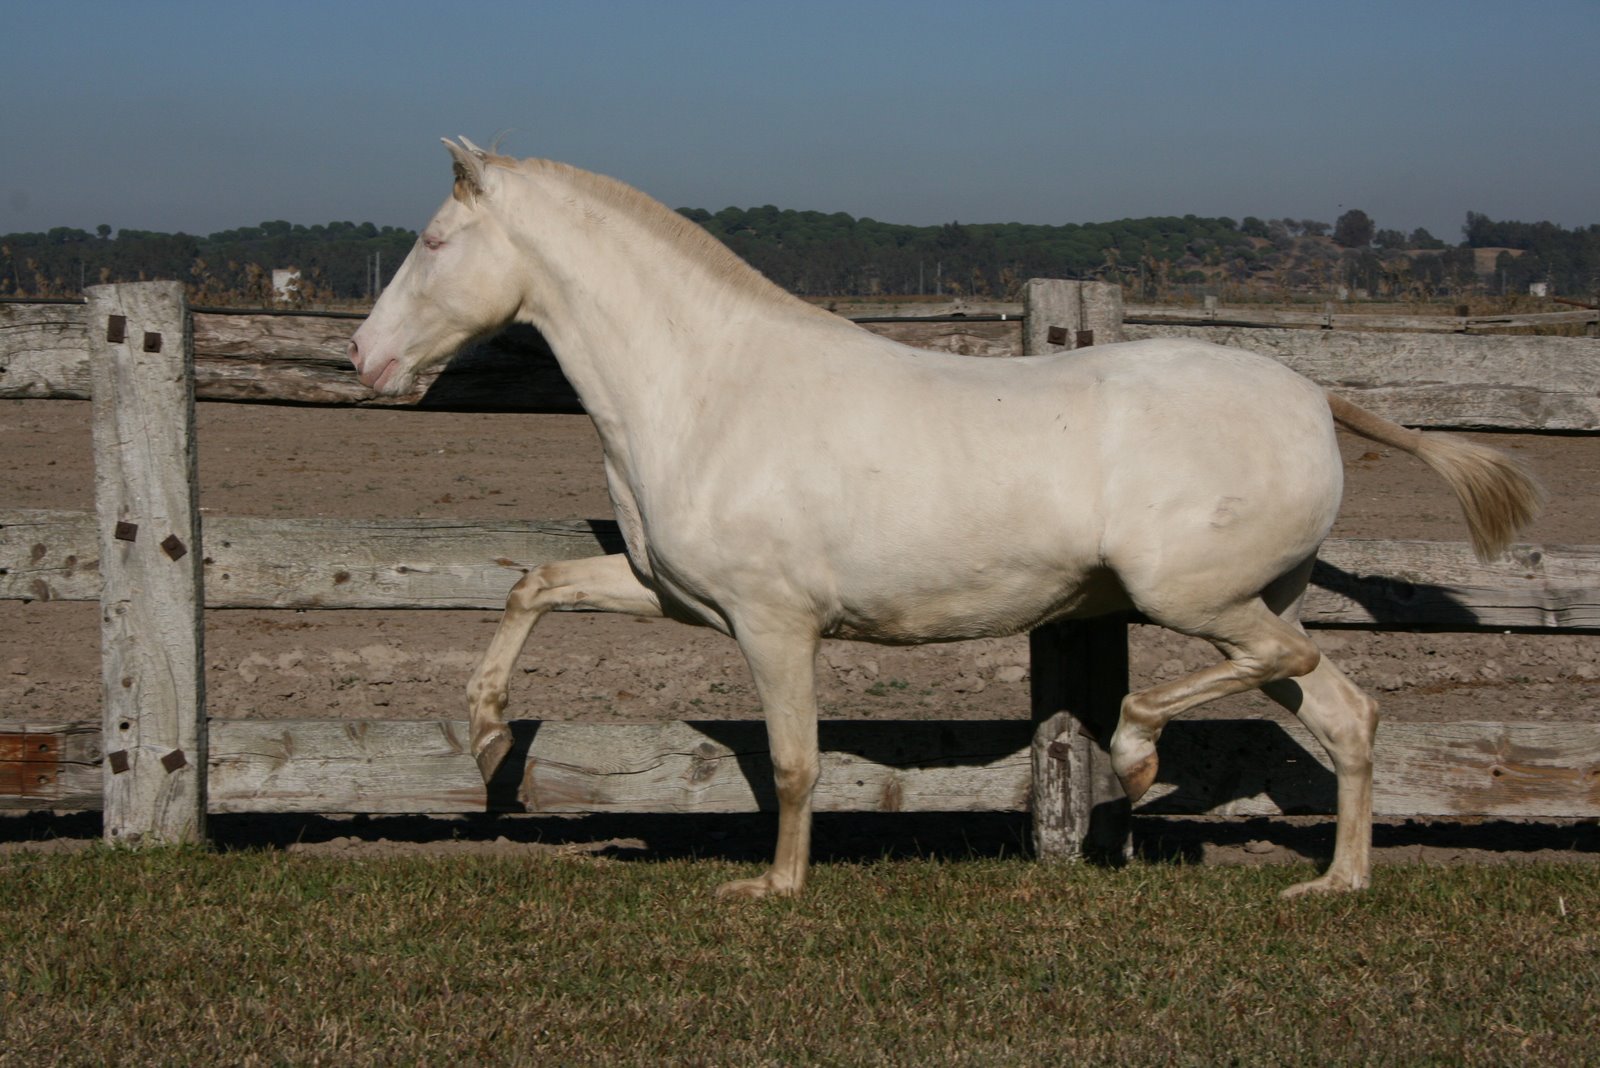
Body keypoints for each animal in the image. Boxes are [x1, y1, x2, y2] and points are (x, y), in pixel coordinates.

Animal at [348, 138, 1542, 898]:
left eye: (433, 242)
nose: (365, 358)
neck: (708, 389)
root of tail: (1311, 396)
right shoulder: (674, 597)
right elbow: (534, 583)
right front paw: (487, 732)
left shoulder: (774, 625)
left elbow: (795, 763)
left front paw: (774, 890)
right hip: (1248, 603)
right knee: (1347, 715)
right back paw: (1334, 885)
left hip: (1195, 599)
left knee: (1279, 675)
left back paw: (1139, 757)